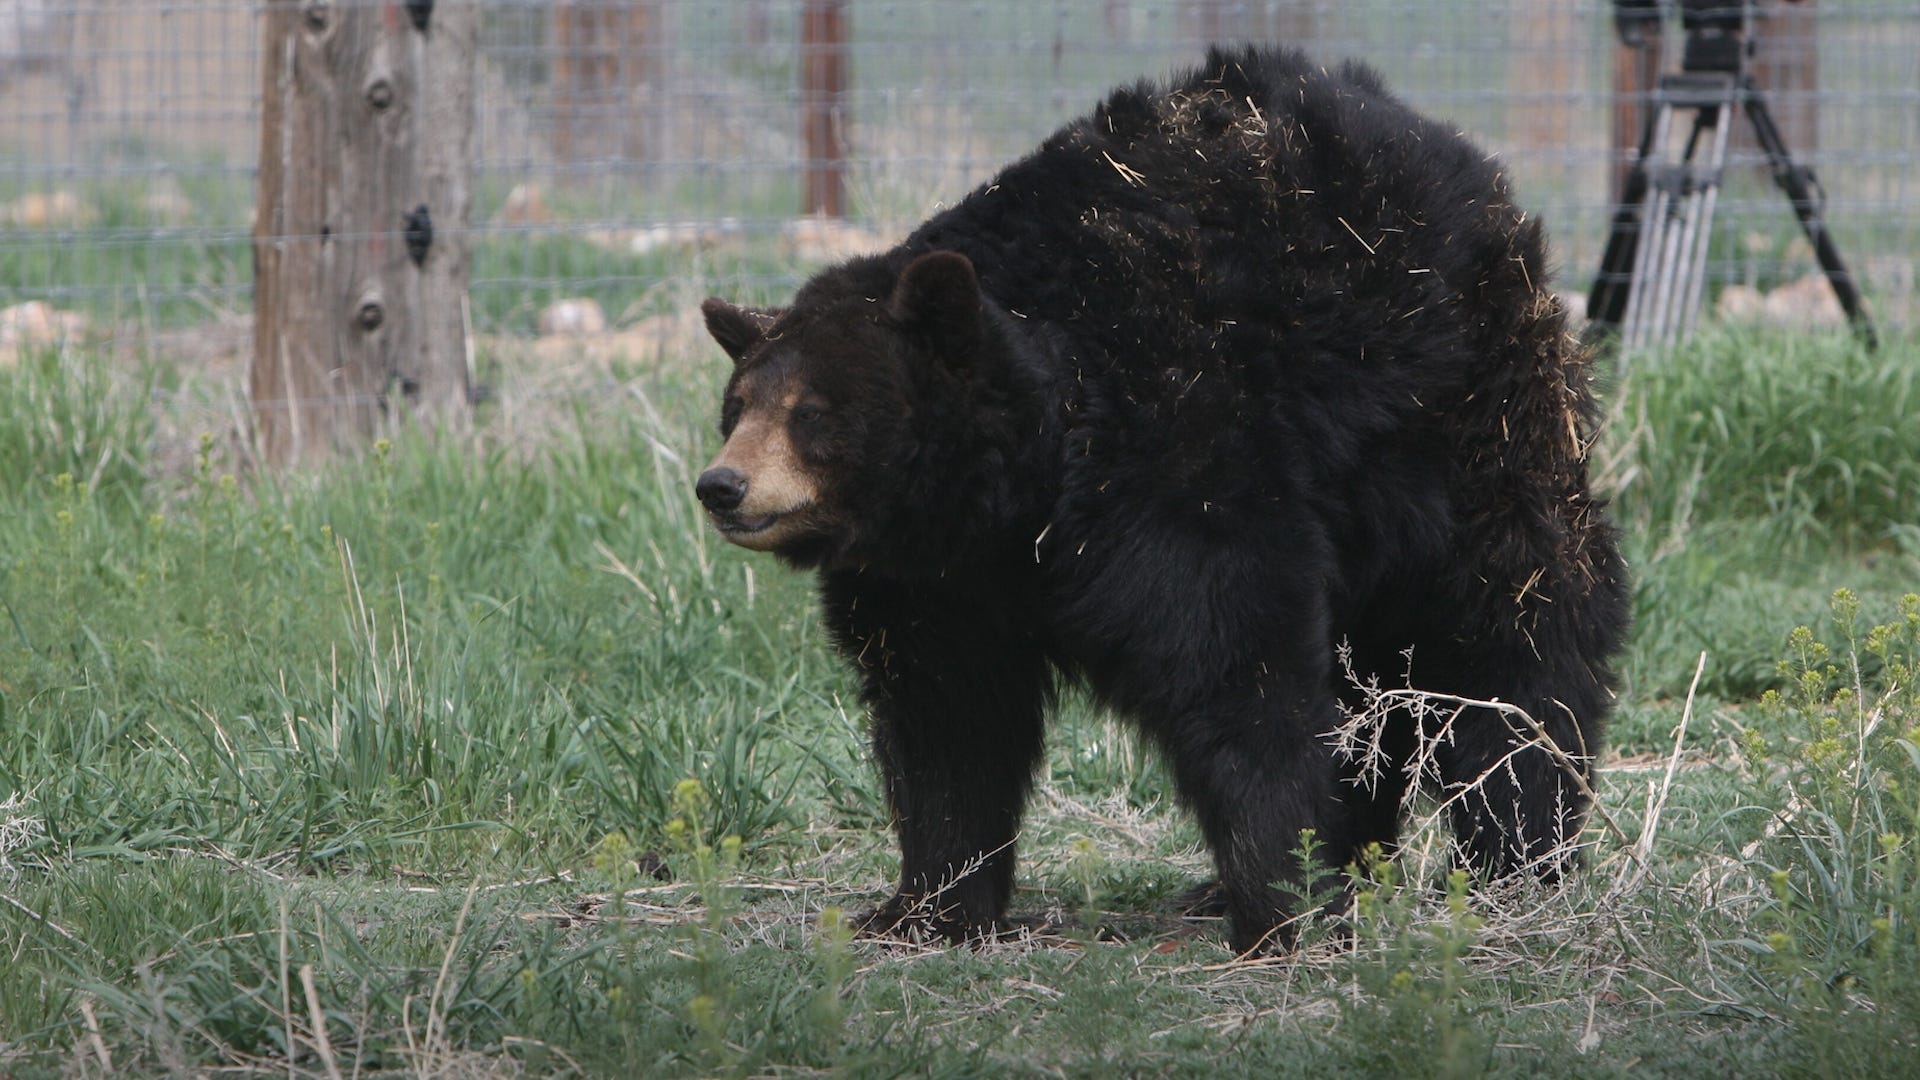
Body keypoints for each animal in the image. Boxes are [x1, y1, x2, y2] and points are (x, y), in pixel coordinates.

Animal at [694, 45, 1629, 955]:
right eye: (737, 406)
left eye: (812, 415)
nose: (720, 486)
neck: (1024, 478)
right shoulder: (938, 576)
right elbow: (946, 716)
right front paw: (923, 907)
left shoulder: (1175, 456)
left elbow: (1232, 663)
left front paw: (1284, 904)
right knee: (1372, 683)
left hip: (1472, 415)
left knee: (1513, 624)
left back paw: (1518, 851)